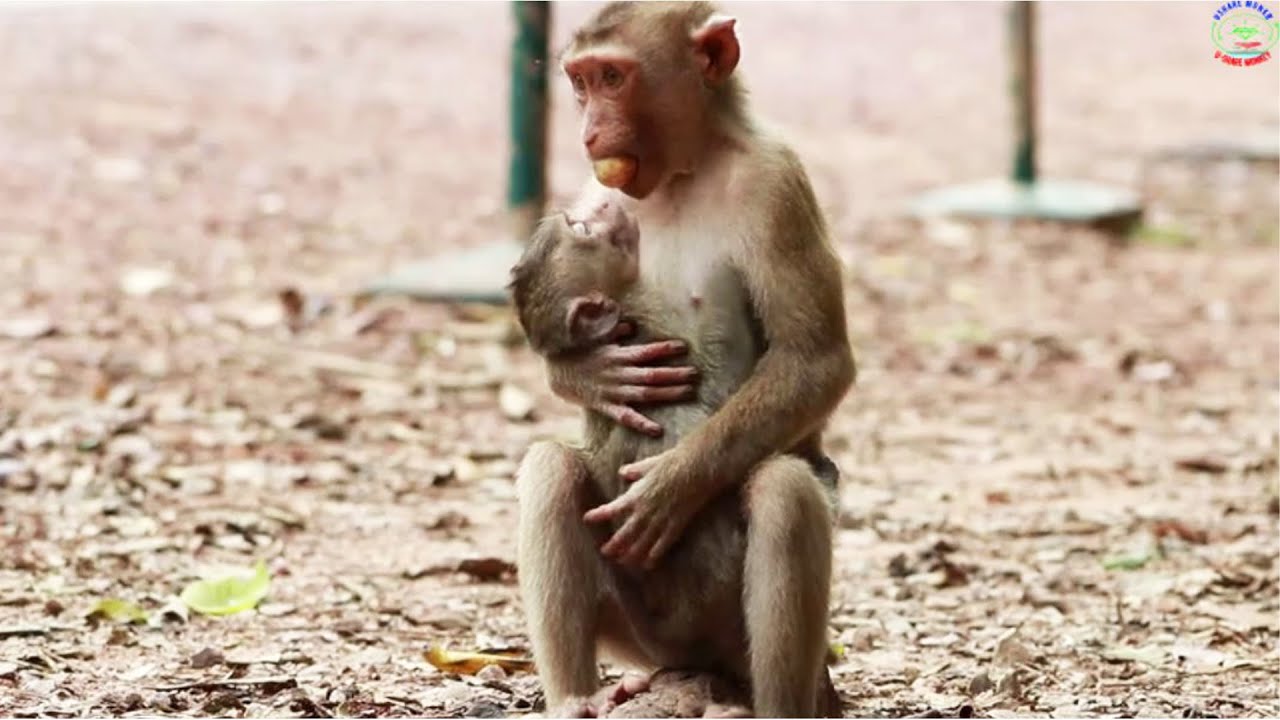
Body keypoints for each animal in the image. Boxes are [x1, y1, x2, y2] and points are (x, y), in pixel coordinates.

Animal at [511, 3, 856, 718]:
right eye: (580, 83)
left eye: (612, 77)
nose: (589, 132)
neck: (684, 172)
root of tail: (696, 662)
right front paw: (591, 372)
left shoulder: (777, 182)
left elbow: (816, 358)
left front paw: (670, 486)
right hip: (642, 636)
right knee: (552, 469)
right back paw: (576, 698)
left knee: (784, 491)